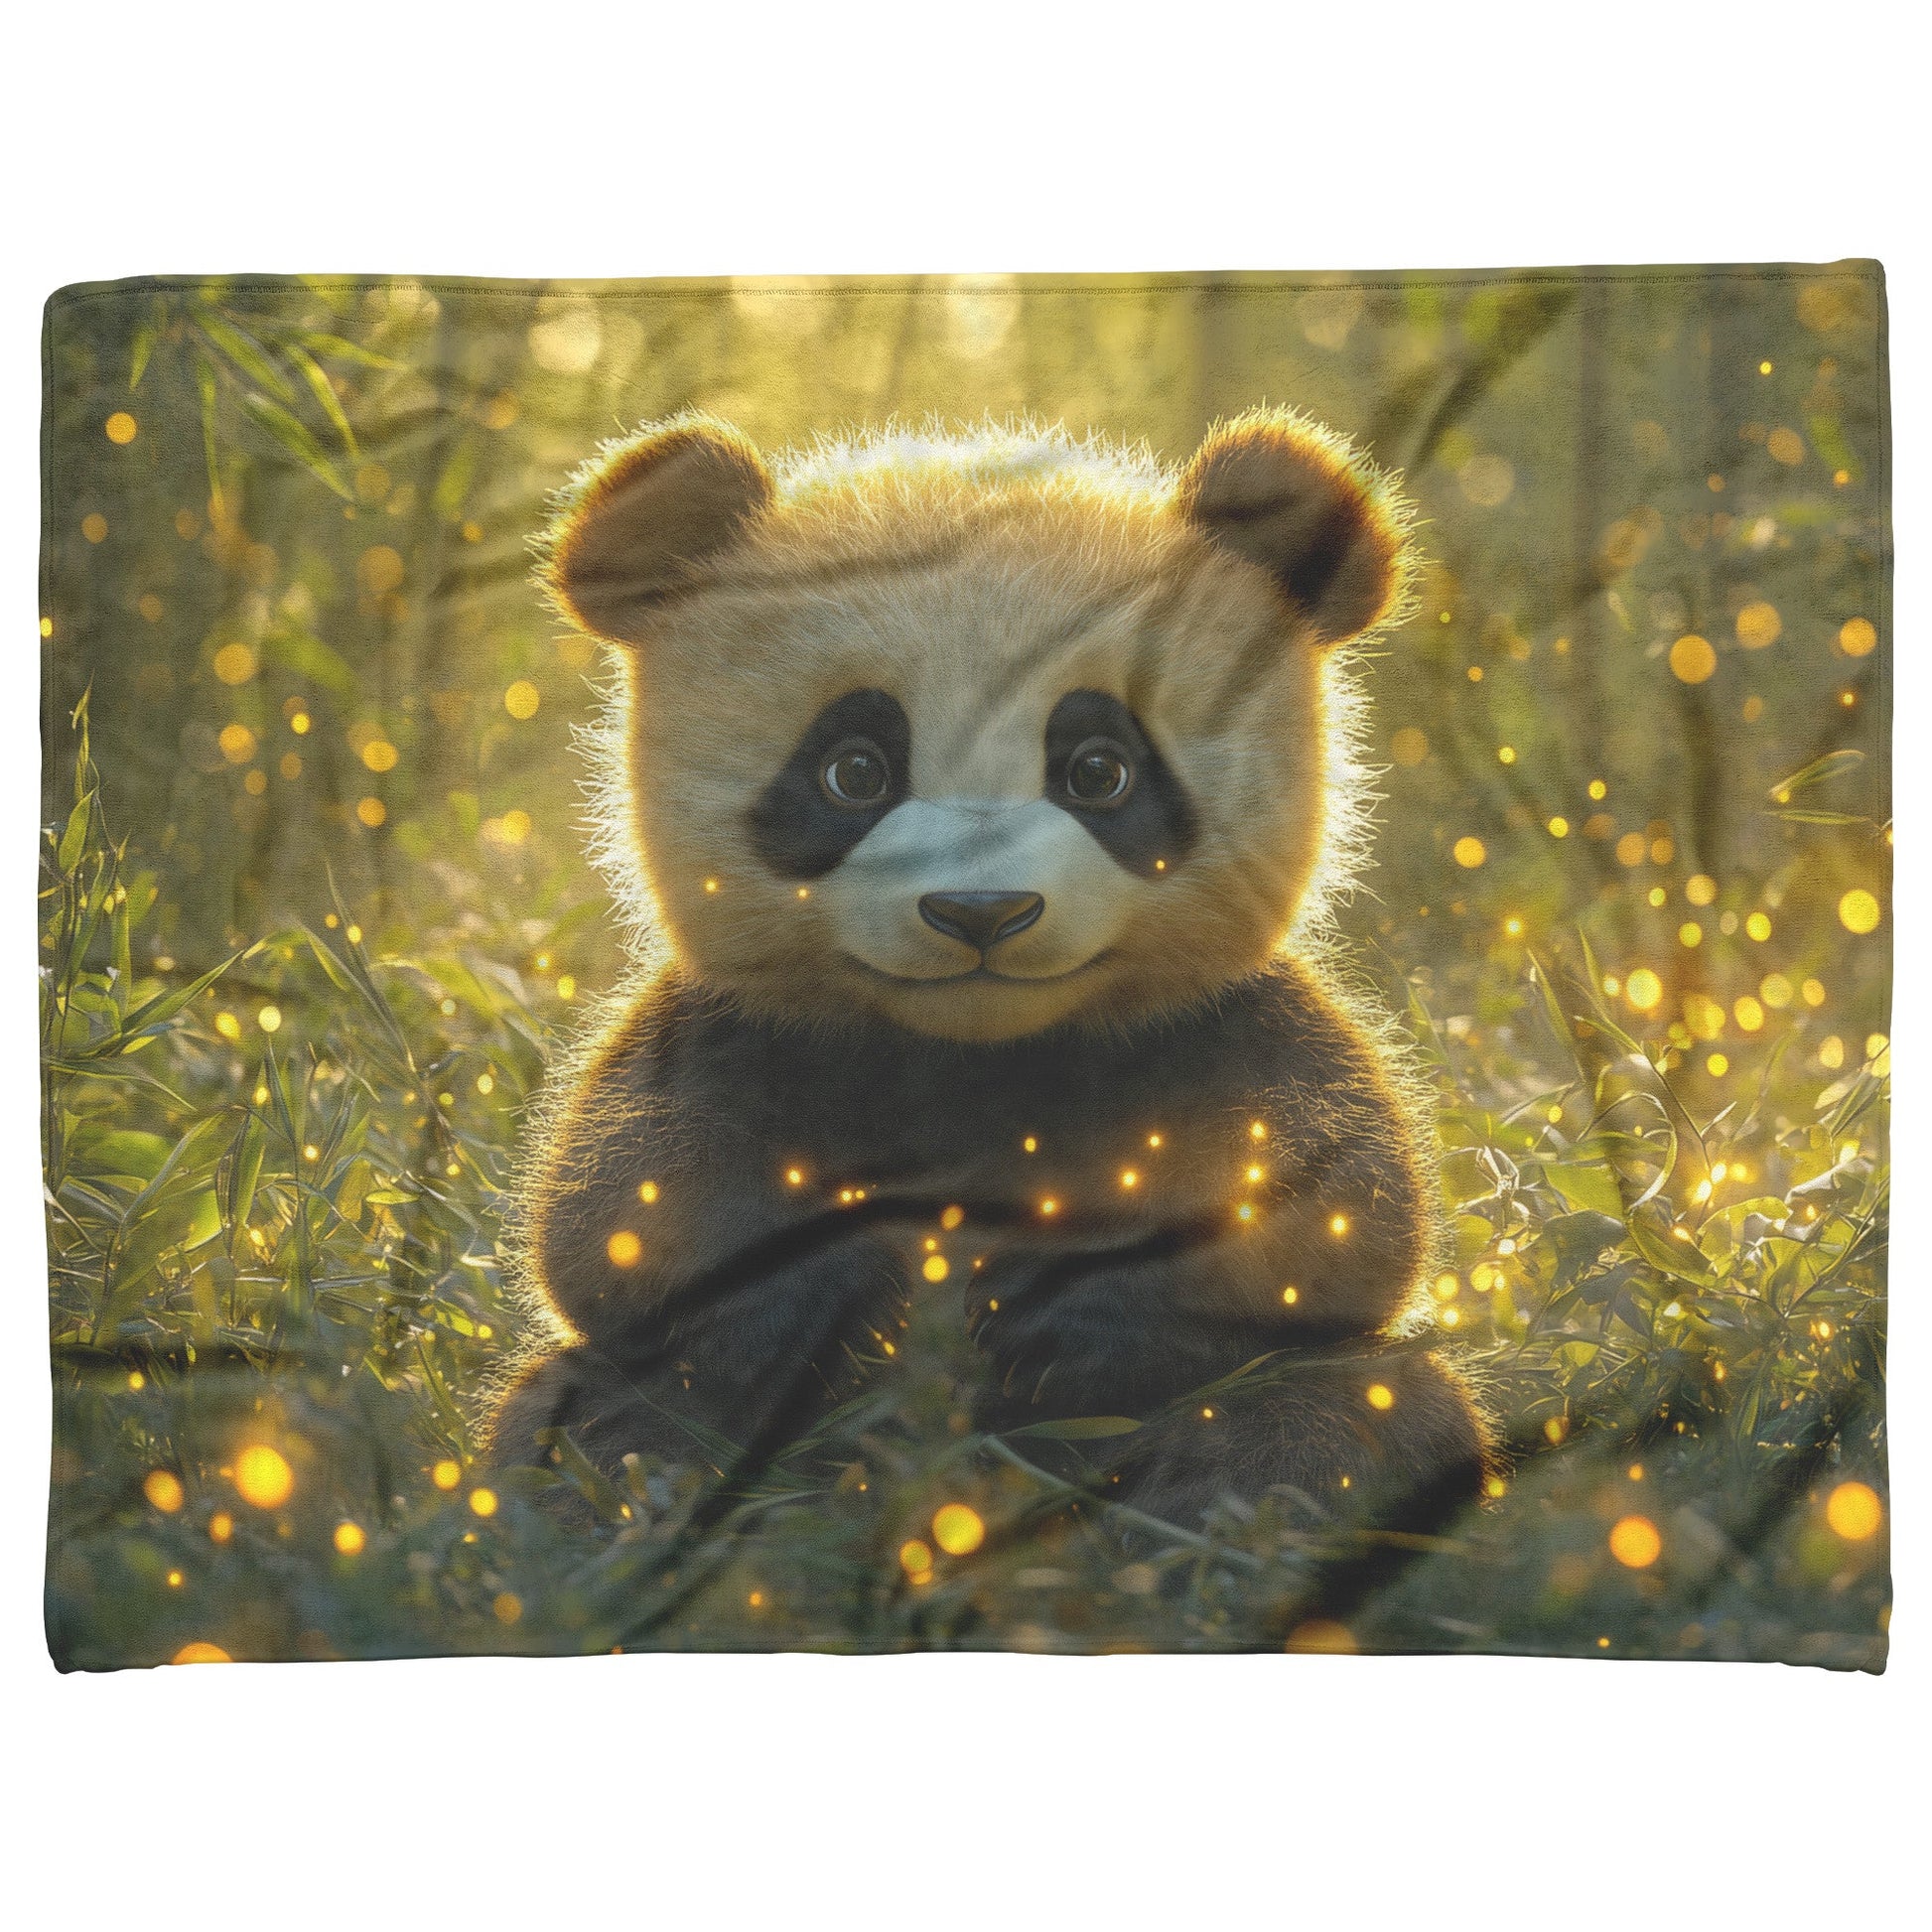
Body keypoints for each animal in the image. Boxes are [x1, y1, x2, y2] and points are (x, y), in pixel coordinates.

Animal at [487, 408, 1492, 1530]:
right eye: (854, 770)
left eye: (1098, 768)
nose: (981, 911)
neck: (977, 1050)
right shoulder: (736, 1025)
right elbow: (619, 1210)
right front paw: (858, 1289)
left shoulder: (1225, 1017)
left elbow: (1343, 1209)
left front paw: (1049, 1308)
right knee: (591, 1428)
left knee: (1346, 1416)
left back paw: (1209, 1525)